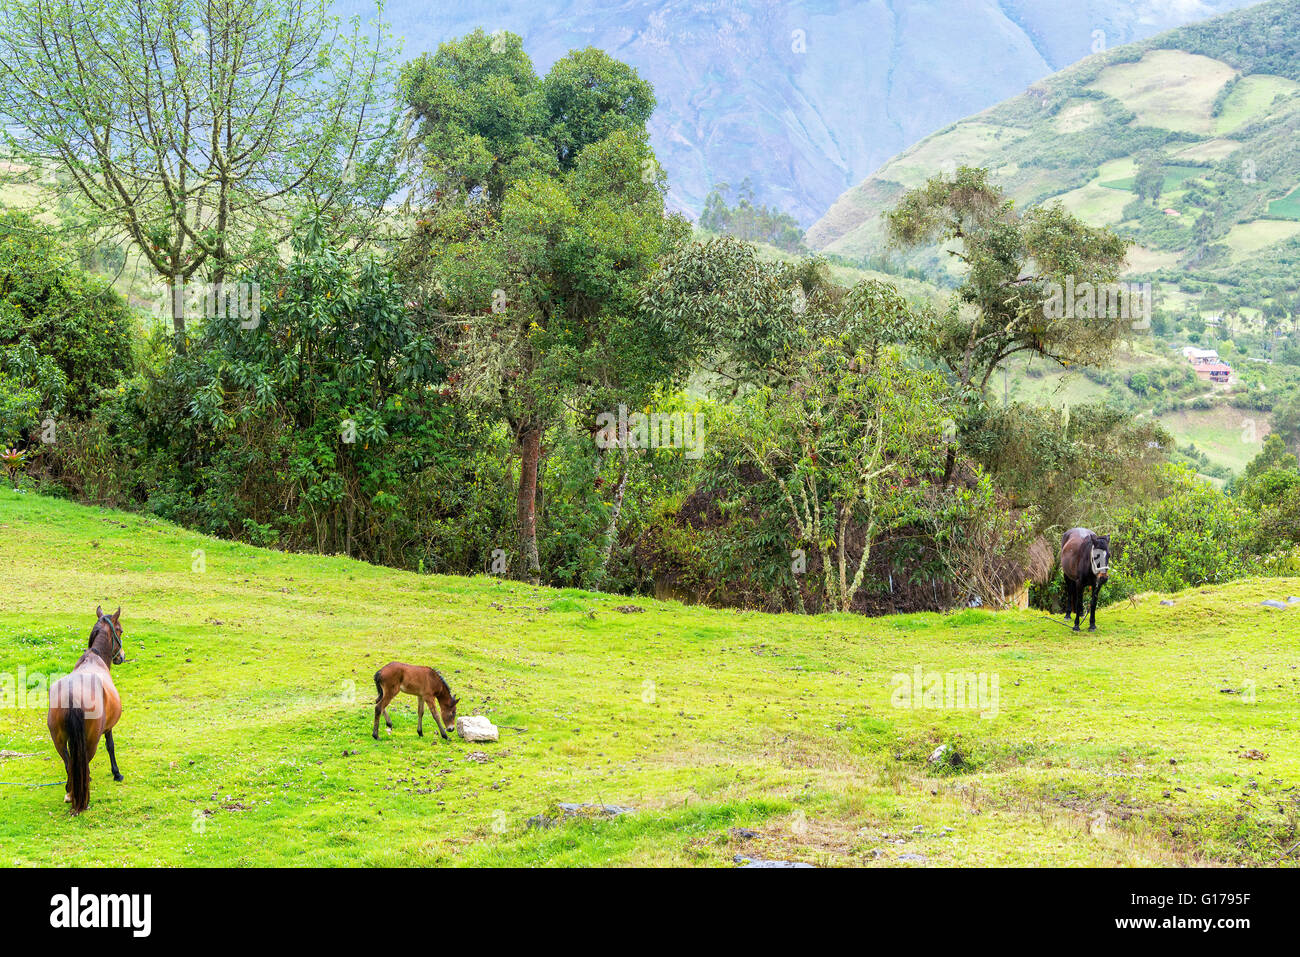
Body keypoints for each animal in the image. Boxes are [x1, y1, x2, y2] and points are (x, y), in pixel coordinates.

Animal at [47, 607, 127, 814]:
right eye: (120, 630)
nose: (122, 657)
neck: (94, 657)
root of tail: (72, 696)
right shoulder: (108, 728)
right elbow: (110, 746)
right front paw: (116, 773)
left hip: (58, 740)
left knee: (69, 764)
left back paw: (70, 792)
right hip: (90, 741)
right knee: (84, 763)